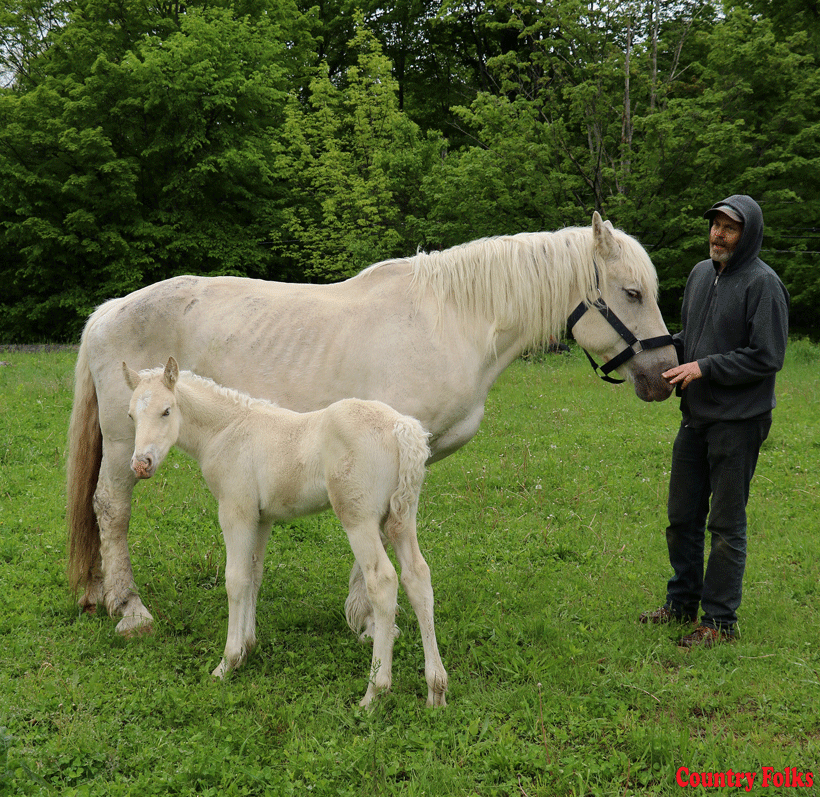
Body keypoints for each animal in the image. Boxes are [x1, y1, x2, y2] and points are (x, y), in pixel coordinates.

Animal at [67, 213, 677, 643]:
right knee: (111, 509)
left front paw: (363, 615)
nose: (665, 376)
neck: (451, 320)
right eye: (632, 293)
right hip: (126, 445)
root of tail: (108, 311)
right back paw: (130, 609)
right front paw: (367, 619)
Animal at [123, 357, 446, 707]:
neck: (226, 430)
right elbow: (254, 575)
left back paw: (374, 692)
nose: (141, 464)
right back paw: (436, 690)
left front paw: (227, 663)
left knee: (383, 582)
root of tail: (402, 428)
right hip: (401, 516)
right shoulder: (261, 518)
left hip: (359, 518)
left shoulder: (235, 510)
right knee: (417, 577)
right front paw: (248, 647)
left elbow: (235, 580)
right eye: (130, 416)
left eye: (166, 411)